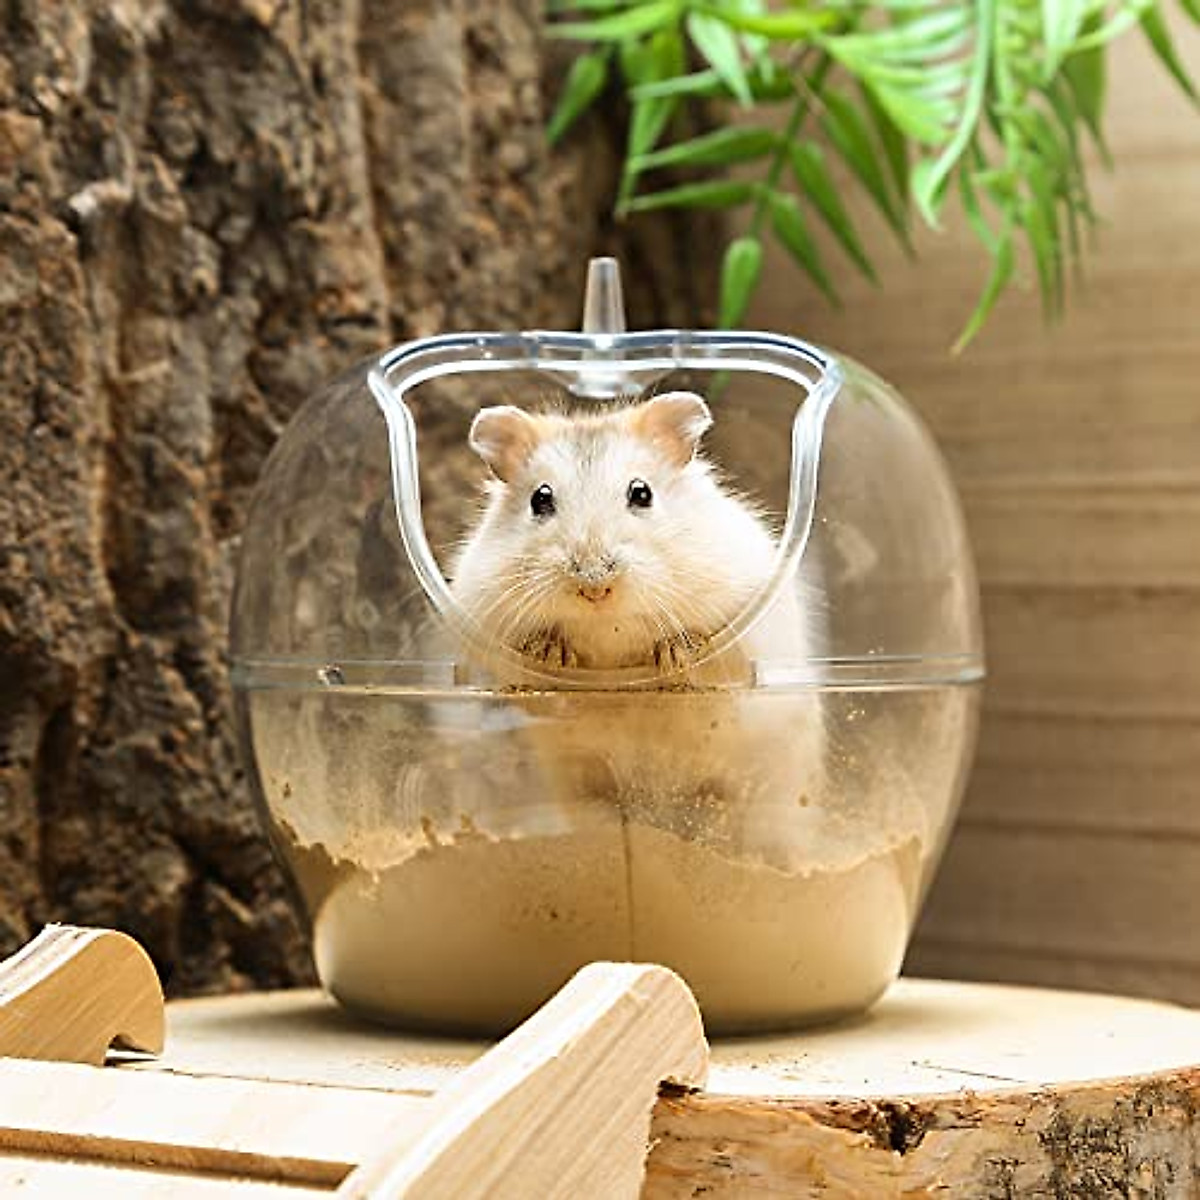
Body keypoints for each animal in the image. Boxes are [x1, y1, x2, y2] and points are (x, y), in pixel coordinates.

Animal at [449, 392, 825, 870]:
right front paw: (551, 653)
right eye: (540, 499)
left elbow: (703, 649)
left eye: (641, 493)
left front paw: (674, 654)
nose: (594, 583)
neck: (609, 627)